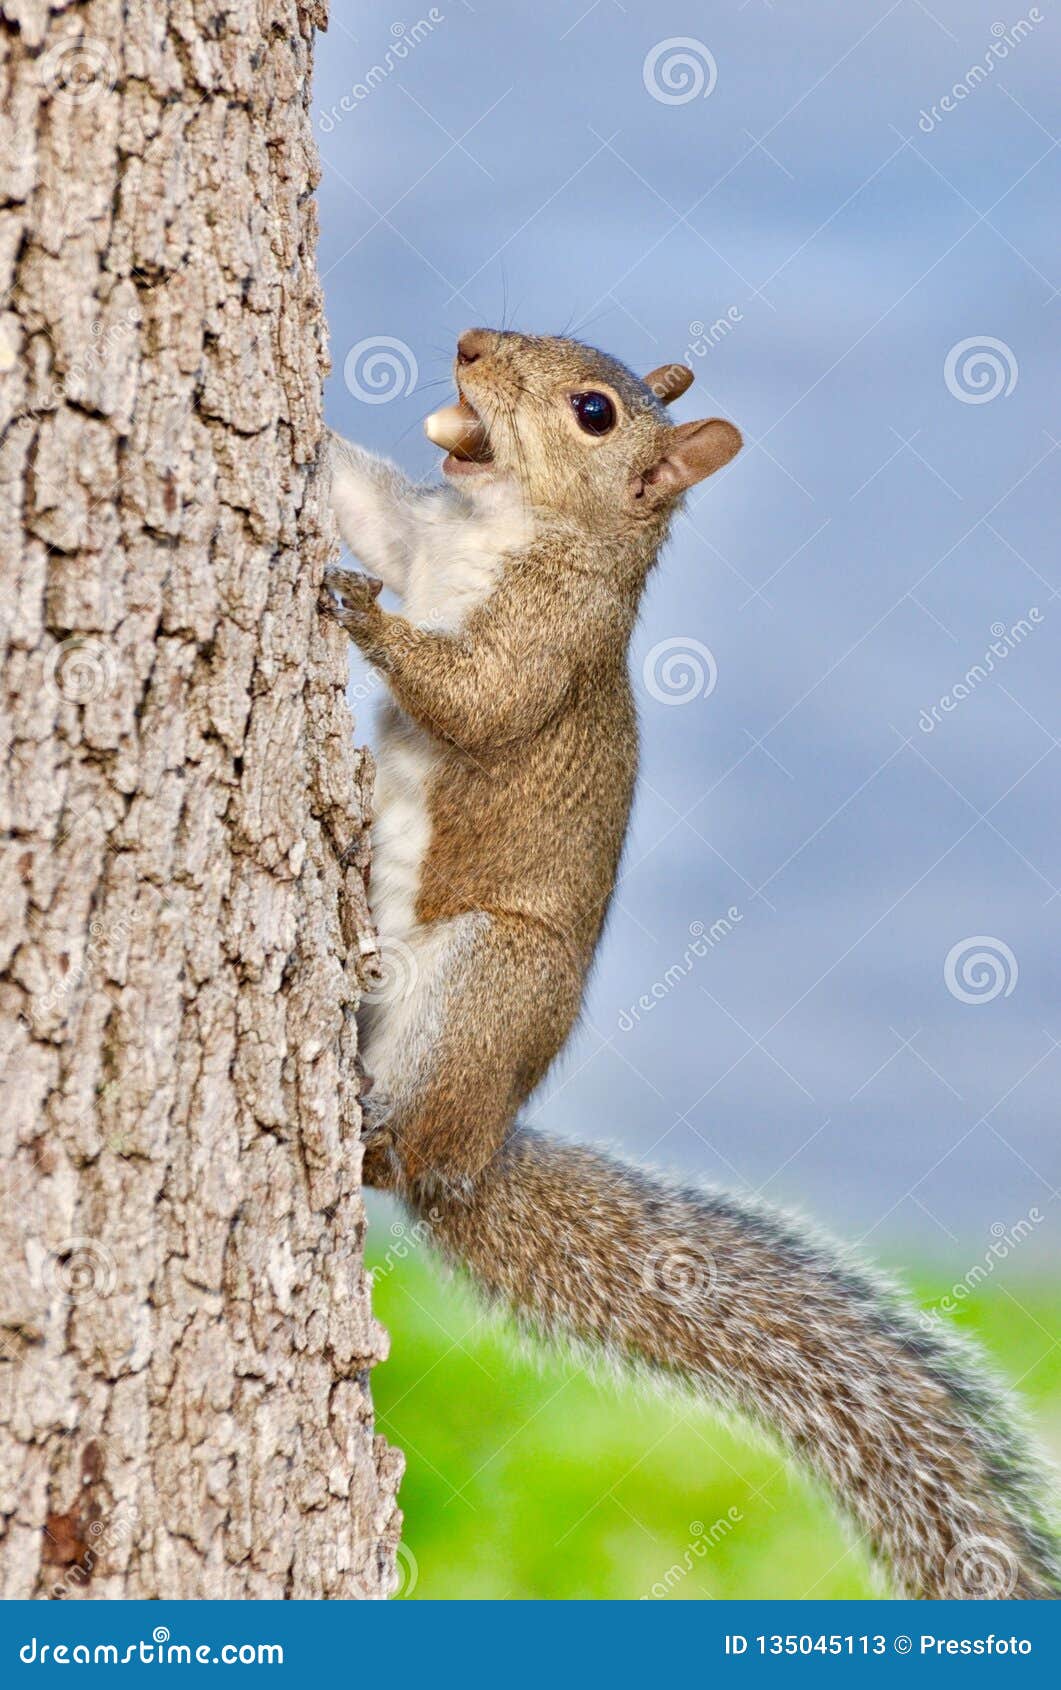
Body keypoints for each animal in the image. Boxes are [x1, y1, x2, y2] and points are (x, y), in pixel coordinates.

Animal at [322, 327, 1060, 1601]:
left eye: (593, 412)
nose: (468, 343)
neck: (499, 525)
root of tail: (477, 1151)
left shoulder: (547, 644)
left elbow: (477, 697)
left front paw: (363, 617)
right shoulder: (420, 530)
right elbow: (360, 496)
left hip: (490, 978)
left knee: (397, 1148)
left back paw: (374, 1121)